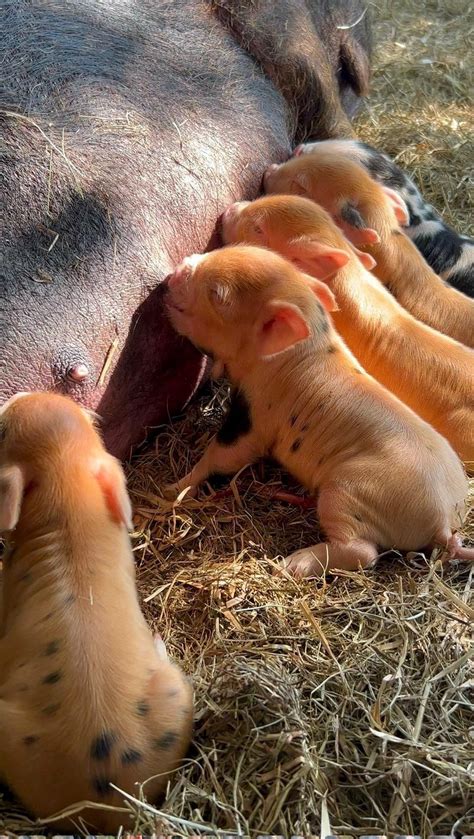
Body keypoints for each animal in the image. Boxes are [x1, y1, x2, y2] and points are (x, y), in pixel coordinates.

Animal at [164, 245, 473, 577]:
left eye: (217, 295)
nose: (178, 268)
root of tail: (444, 523)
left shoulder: (254, 417)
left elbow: (221, 455)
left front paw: (170, 490)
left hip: (349, 492)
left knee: (363, 552)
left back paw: (290, 564)